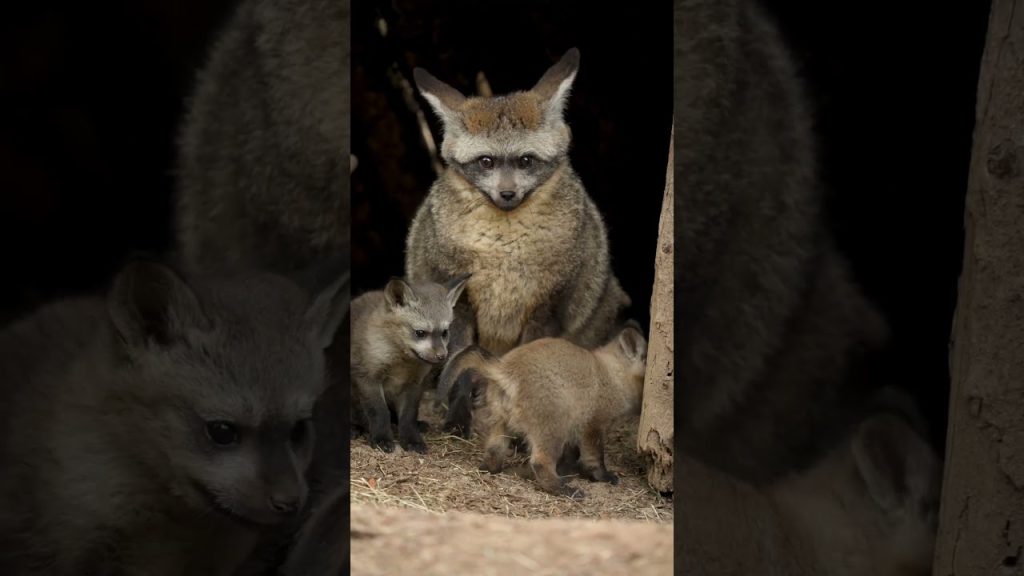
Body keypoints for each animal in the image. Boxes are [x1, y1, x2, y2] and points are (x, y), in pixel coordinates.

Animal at [350, 275, 470, 454]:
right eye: (420, 333)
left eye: (444, 333)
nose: (442, 356)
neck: (400, 362)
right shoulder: (368, 378)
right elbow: (379, 412)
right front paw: (382, 438)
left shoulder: (414, 384)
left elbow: (408, 416)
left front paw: (412, 439)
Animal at [440, 325, 648, 498]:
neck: (612, 375)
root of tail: (503, 369)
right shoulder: (592, 427)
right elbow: (595, 459)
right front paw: (604, 478)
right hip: (553, 429)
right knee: (540, 464)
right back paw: (566, 490)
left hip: (501, 424)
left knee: (492, 455)